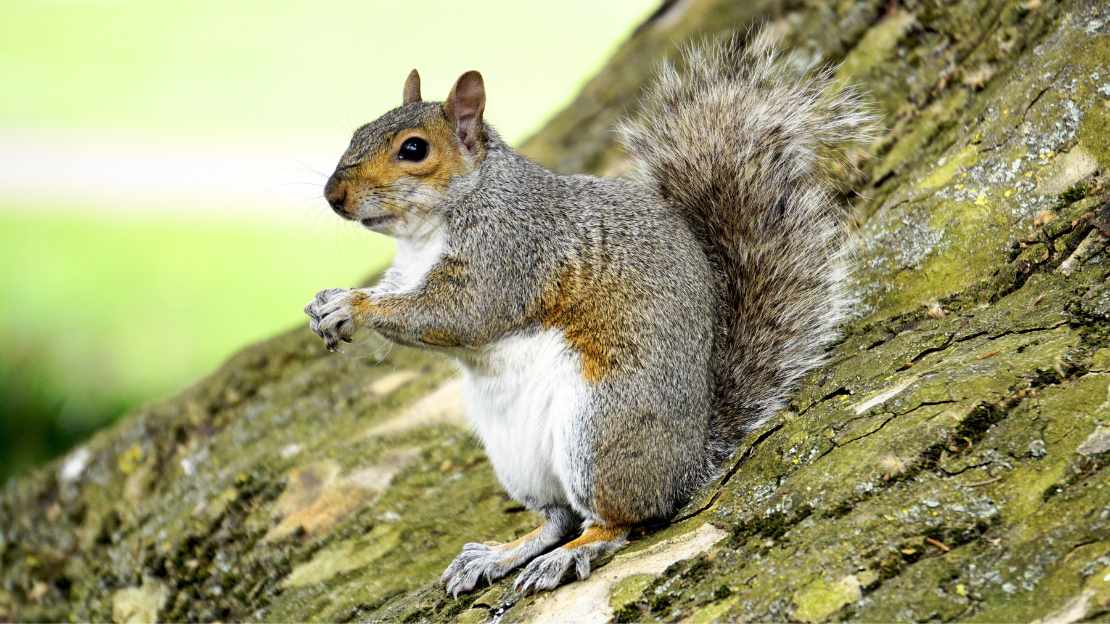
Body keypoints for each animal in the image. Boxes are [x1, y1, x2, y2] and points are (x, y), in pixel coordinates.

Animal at [305, 30, 874, 596]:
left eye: (414, 149)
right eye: (358, 130)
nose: (334, 195)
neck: (431, 228)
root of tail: (688, 463)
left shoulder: (508, 254)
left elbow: (459, 315)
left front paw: (353, 306)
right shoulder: (409, 272)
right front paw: (325, 303)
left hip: (599, 430)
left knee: (620, 519)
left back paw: (571, 554)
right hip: (519, 458)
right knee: (558, 517)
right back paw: (502, 553)